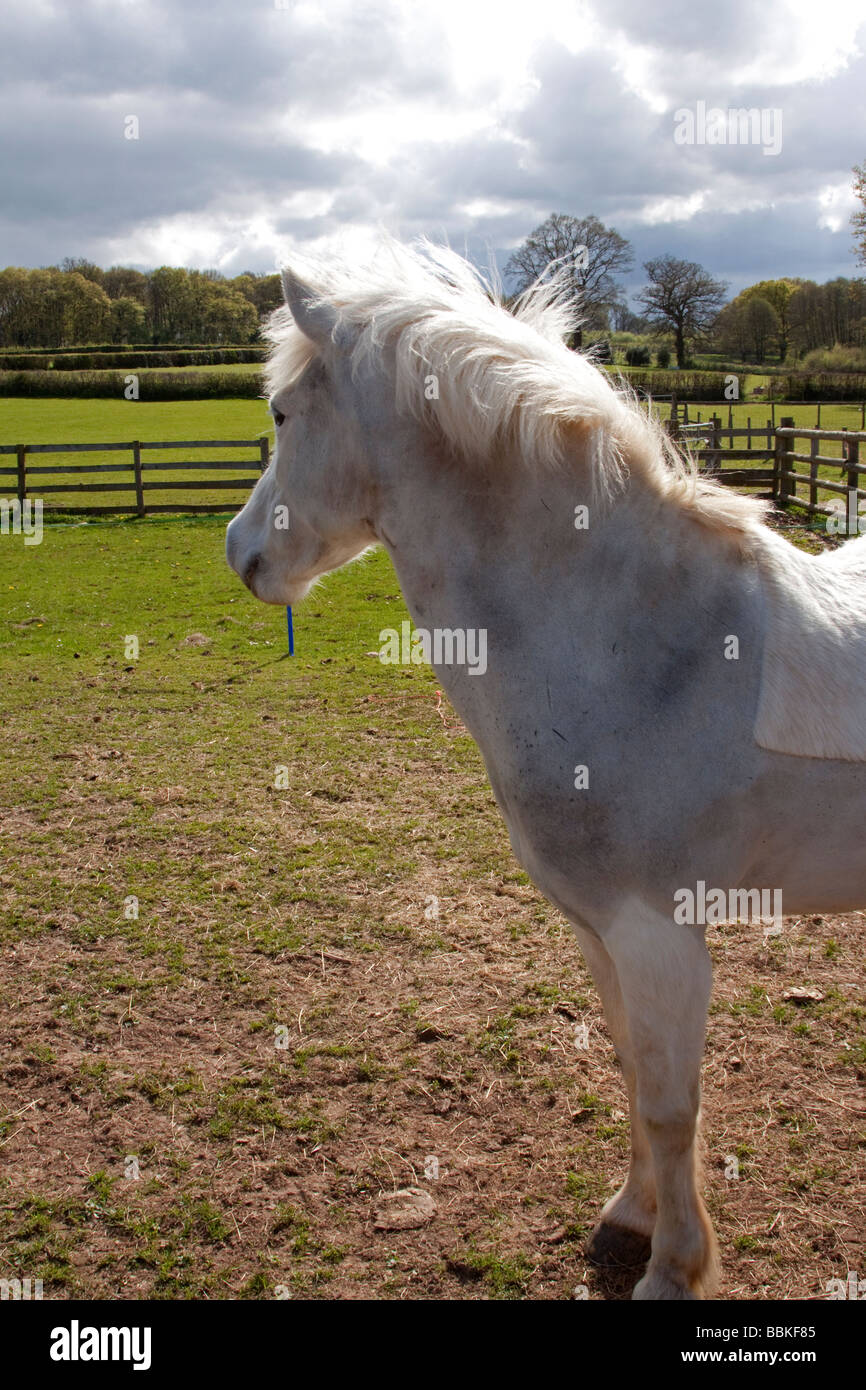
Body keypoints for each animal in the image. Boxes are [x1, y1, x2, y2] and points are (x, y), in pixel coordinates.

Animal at [226, 238, 866, 1299]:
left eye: (280, 412)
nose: (241, 554)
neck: (642, 647)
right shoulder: (599, 931)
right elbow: (630, 1072)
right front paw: (631, 1218)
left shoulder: (663, 938)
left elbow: (672, 1107)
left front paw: (674, 1268)